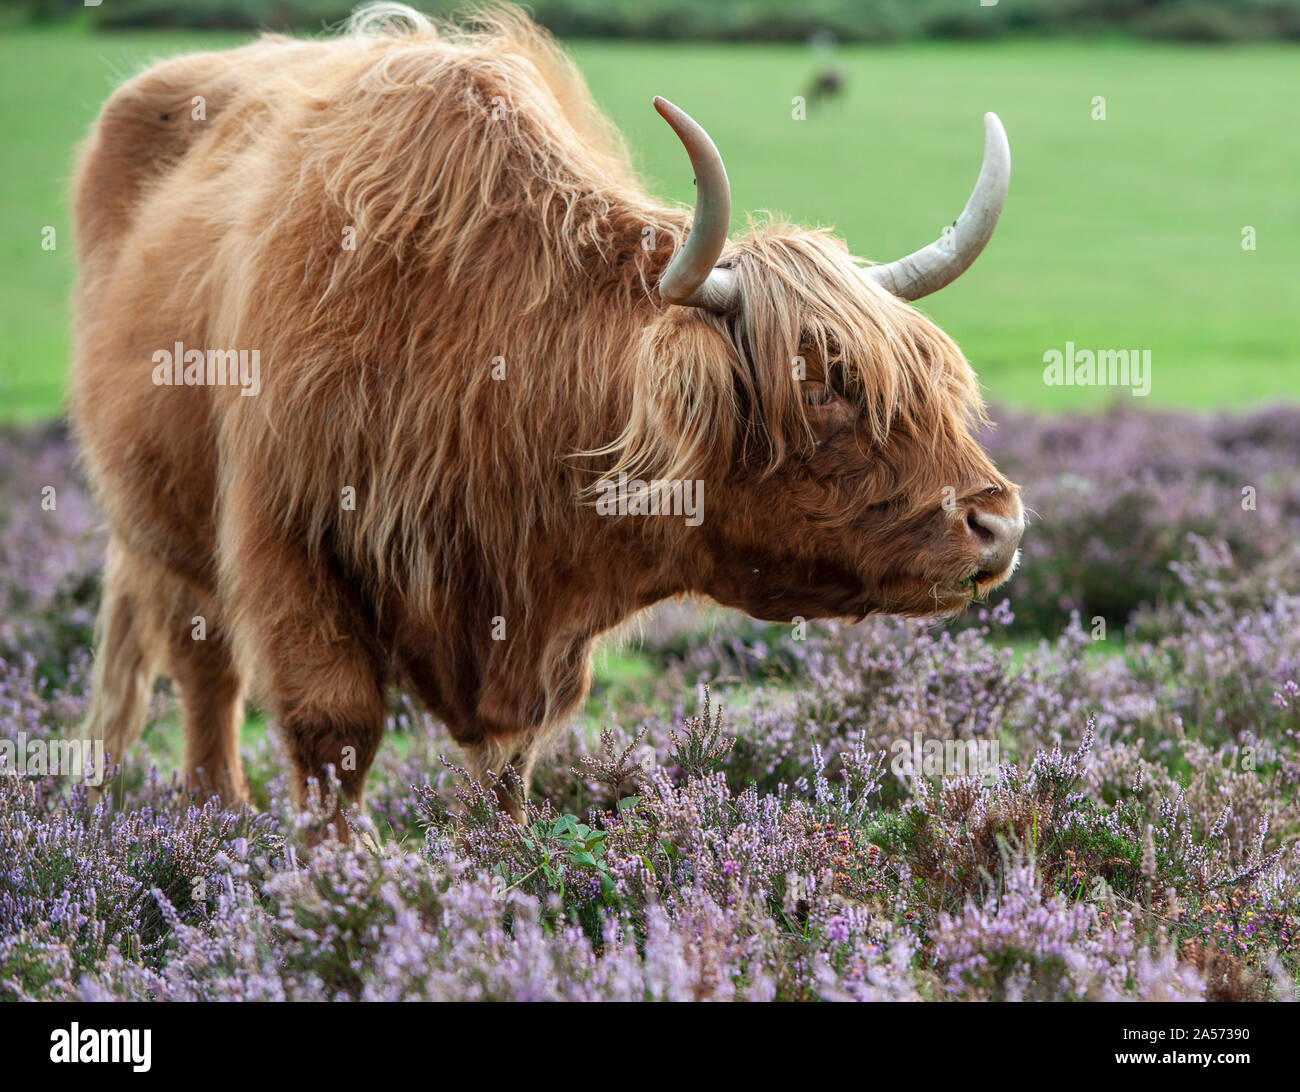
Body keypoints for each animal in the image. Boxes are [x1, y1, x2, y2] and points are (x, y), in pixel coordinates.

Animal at [71, 4, 1023, 831]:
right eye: (823, 385)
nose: (999, 525)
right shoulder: (287, 542)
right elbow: (331, 730)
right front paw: (345, 884)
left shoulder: (532, 626)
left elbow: (508, 763)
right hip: (162, 529)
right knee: (201, 668)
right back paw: (216, 809)